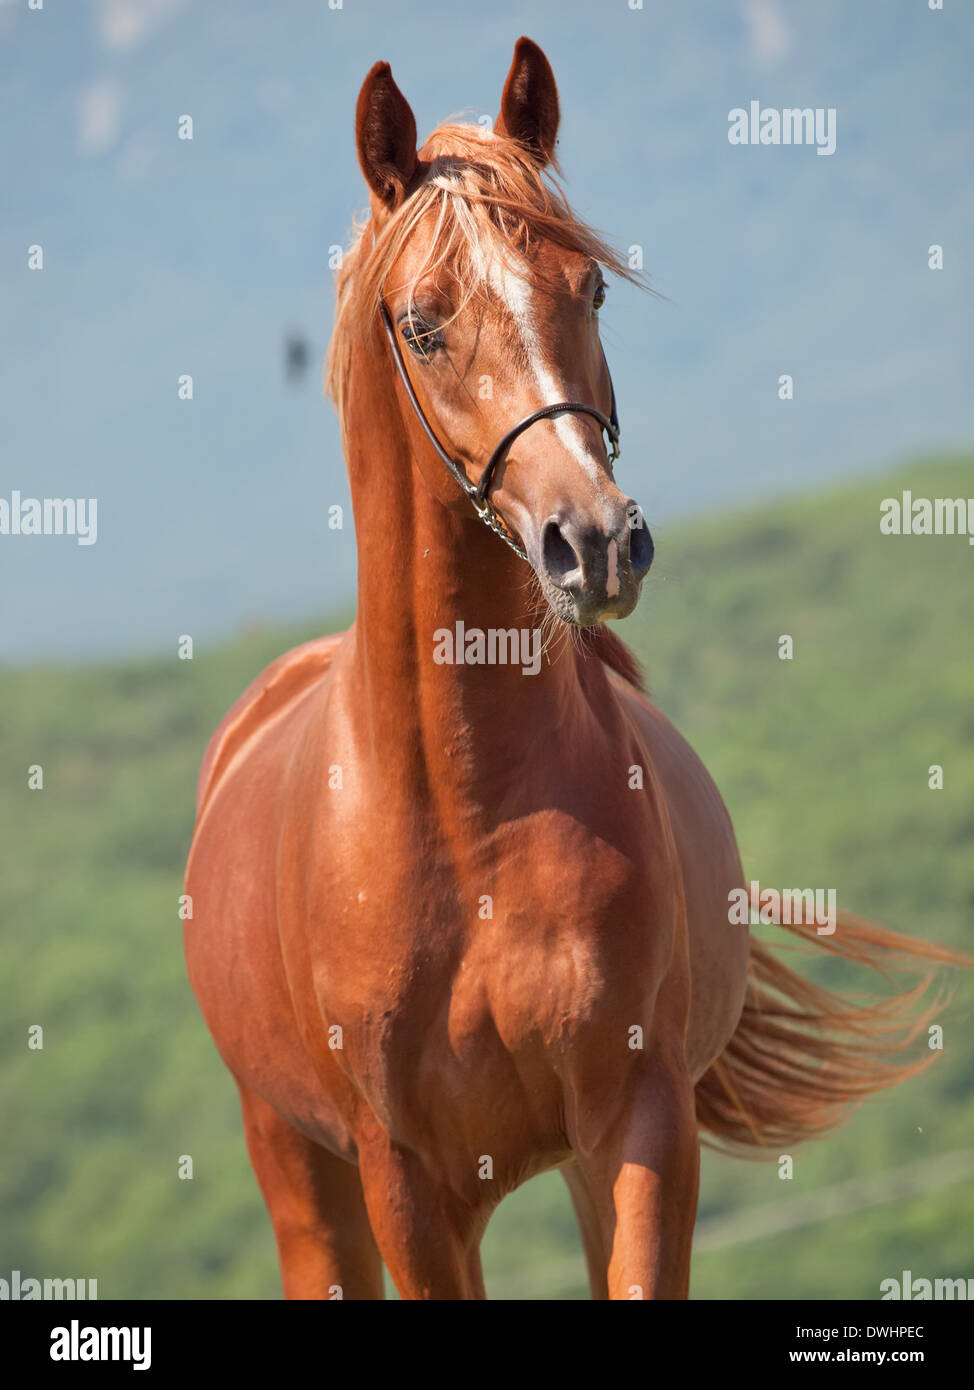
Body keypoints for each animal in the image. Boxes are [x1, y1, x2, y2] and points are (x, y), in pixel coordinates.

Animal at [184, 38, 965, 1300]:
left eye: (588, 289)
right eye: (422, 324)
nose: (591, 540)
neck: (468, 824)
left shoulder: (635, 1126)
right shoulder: (409, 1186)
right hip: (297, 1167)